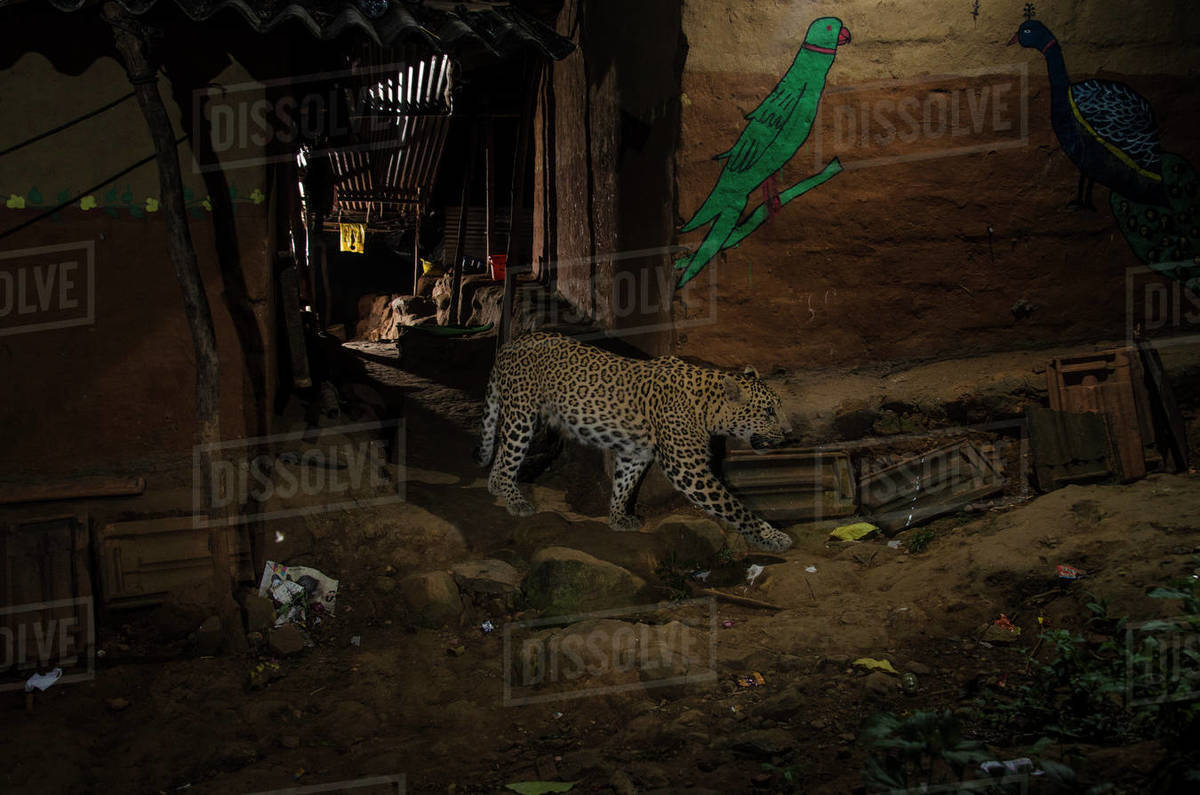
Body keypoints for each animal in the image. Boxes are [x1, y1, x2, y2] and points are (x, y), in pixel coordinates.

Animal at [473, 330, 794, 551]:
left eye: (779, 407)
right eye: (769, 411)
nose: (790, 432)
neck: (708, 407)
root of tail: (512, 341)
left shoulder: (636, 453)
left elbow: (624, 484)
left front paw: (617, 518)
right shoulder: (689, 470)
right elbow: (734, 506)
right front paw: (771, 535)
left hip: (526, 416)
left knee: (503, 450)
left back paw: (497, 486)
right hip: (522, 413)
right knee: (510, 452)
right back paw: (514, 498)